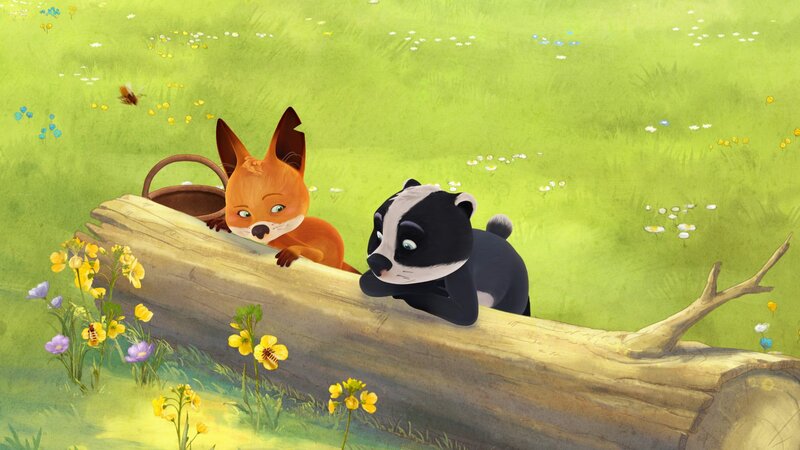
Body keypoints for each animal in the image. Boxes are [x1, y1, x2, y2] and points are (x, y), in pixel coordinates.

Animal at [206, 107, 359, 274]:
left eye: (278, 208)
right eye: (244, 214)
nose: (259, 230)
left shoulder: (317, 253)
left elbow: (314, 253)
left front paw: (293, 251)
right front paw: (223, 223)